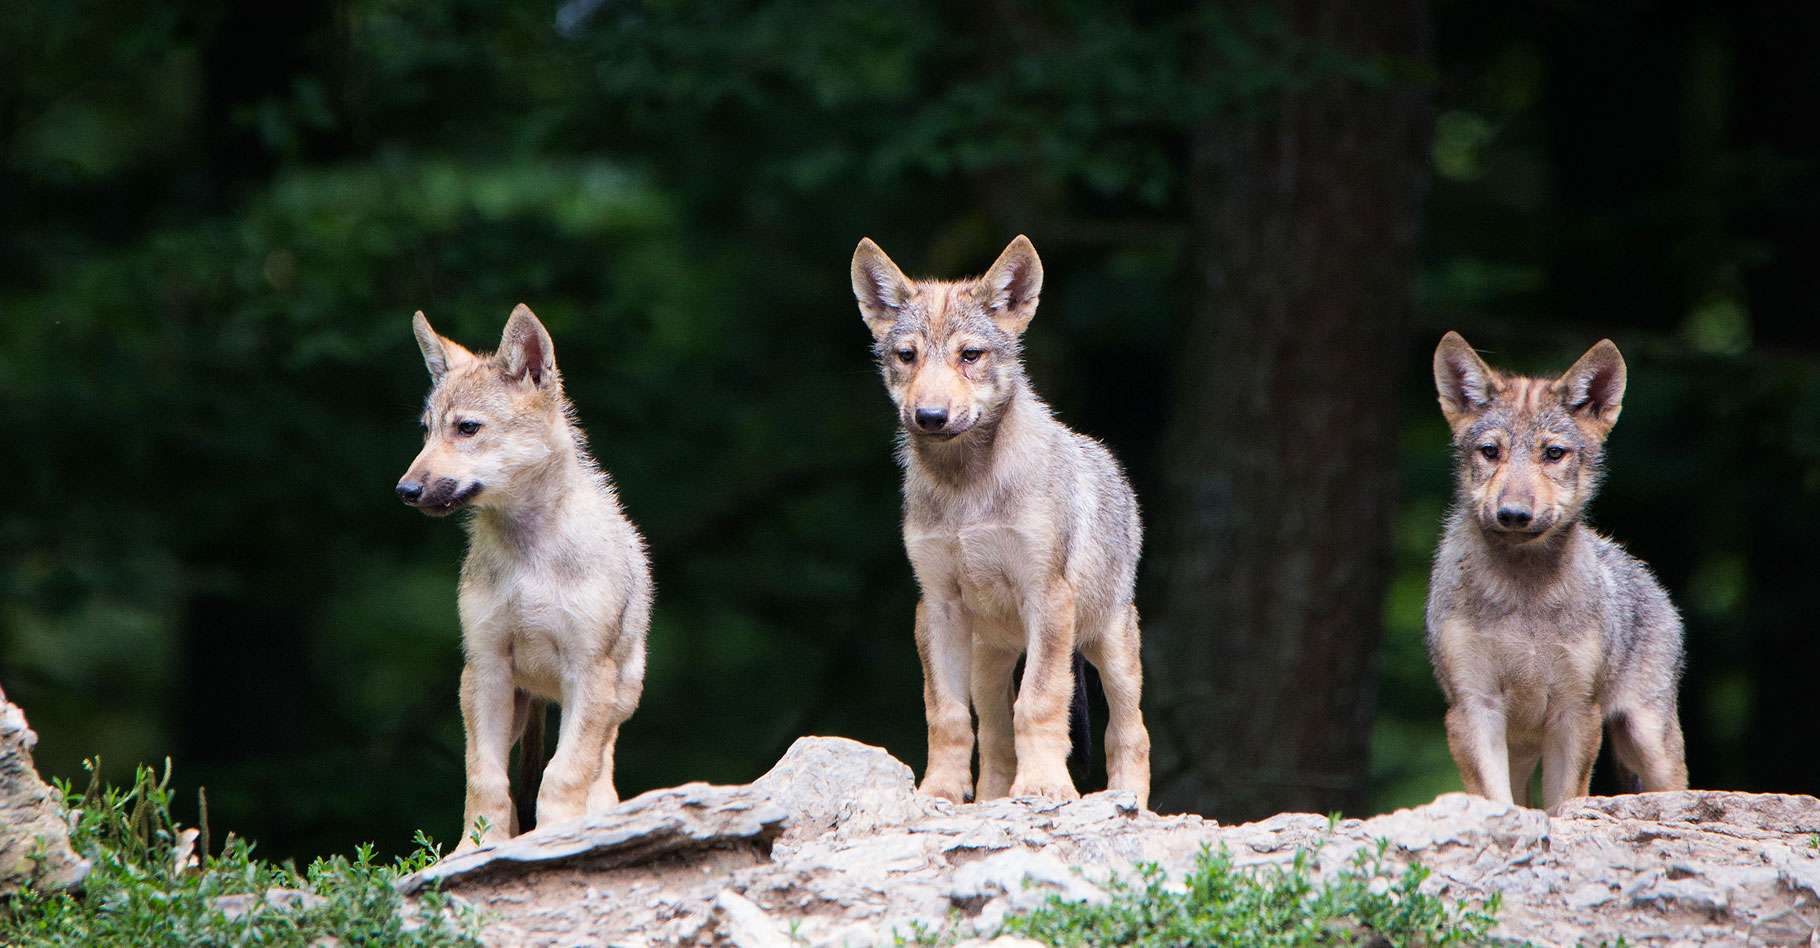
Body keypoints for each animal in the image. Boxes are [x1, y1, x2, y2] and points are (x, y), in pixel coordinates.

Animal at [397, 304, 652, 848]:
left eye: (467, 428)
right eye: (426, 431)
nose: (405, 490)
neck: (529, 557)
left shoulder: (588, 671)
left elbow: (566, 773)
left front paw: (559, 834)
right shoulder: (486, 668)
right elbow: (486, 779)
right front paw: (476, 847)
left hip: (619, 692)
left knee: (602, 762)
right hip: (516, 703)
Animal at [849, 235, 1151, 807]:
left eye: (970, 355)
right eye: (907, 356)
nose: (930, 417)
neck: (967, 491)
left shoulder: (1047, 600)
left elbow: (1039, 703)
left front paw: (1045, 786)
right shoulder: (937, 607)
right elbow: (946, 716)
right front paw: (939, 792)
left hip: (1109, 646)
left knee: (1130, 732)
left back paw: (1127, 801)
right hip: (986, 661)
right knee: (994, 736)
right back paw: (992, 798)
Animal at [1427, 331, 1688, 814]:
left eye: (1553, 454)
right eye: (1491, 452)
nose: (1513, 514)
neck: (1523, 595)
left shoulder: (1575, 713)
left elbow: (1566, 803)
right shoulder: (1473, 708)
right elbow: (1498, 801)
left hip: (1650, 743)